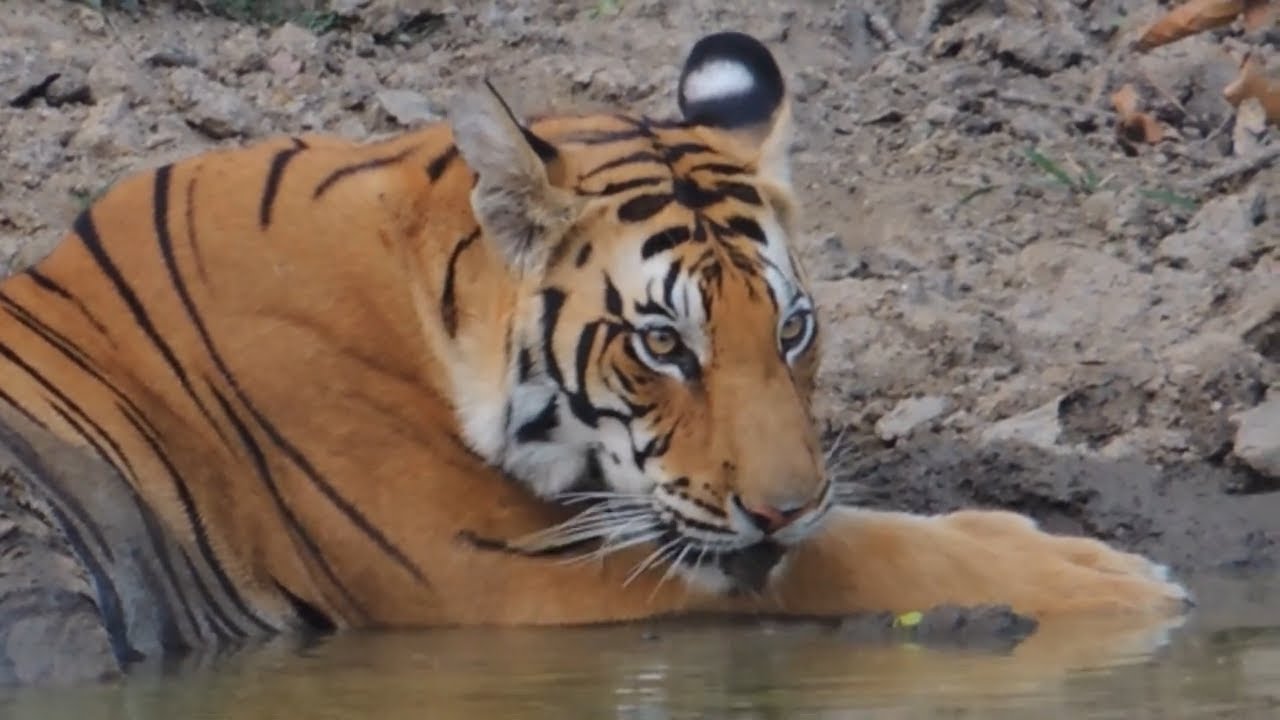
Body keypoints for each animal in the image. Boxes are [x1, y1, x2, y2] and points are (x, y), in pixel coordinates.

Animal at [0, 30, 1187, 671]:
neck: (421, 297)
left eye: (791, 329)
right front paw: (1109, 576)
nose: (782, 505)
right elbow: (861, 554)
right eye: (663, 345)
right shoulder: (514, 579)